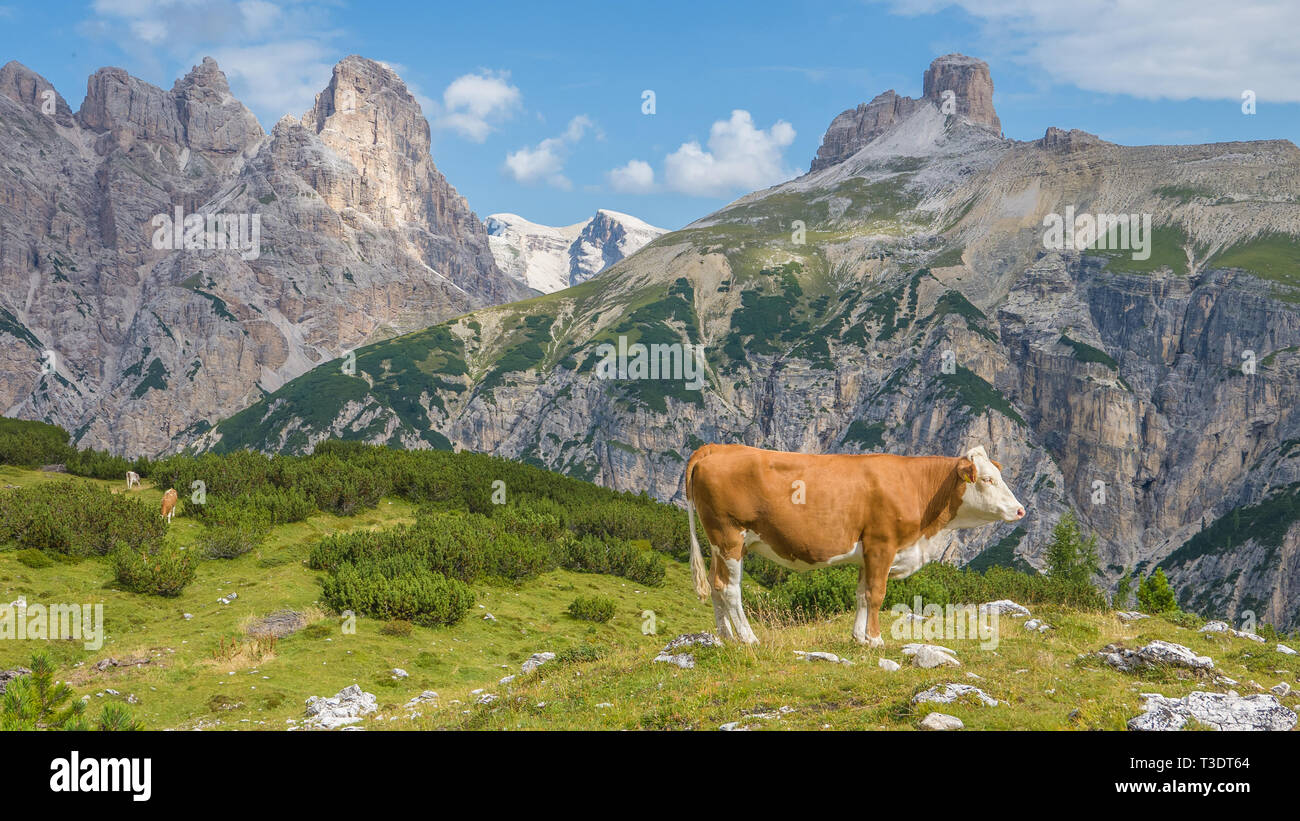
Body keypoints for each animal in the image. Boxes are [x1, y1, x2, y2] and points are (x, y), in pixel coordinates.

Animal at [685, 443, 1025, 647]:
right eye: (987, 479)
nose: (1021, 510)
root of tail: (717, 448)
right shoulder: (882, 544)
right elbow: (877, 595)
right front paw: (875, 640)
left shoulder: (867, 554)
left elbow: (862, 595)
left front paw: (859, 637)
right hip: (729, 535)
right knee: (730, 588)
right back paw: (748, 637)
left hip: (721, 544)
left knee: (715, 584)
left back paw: (725, 636)